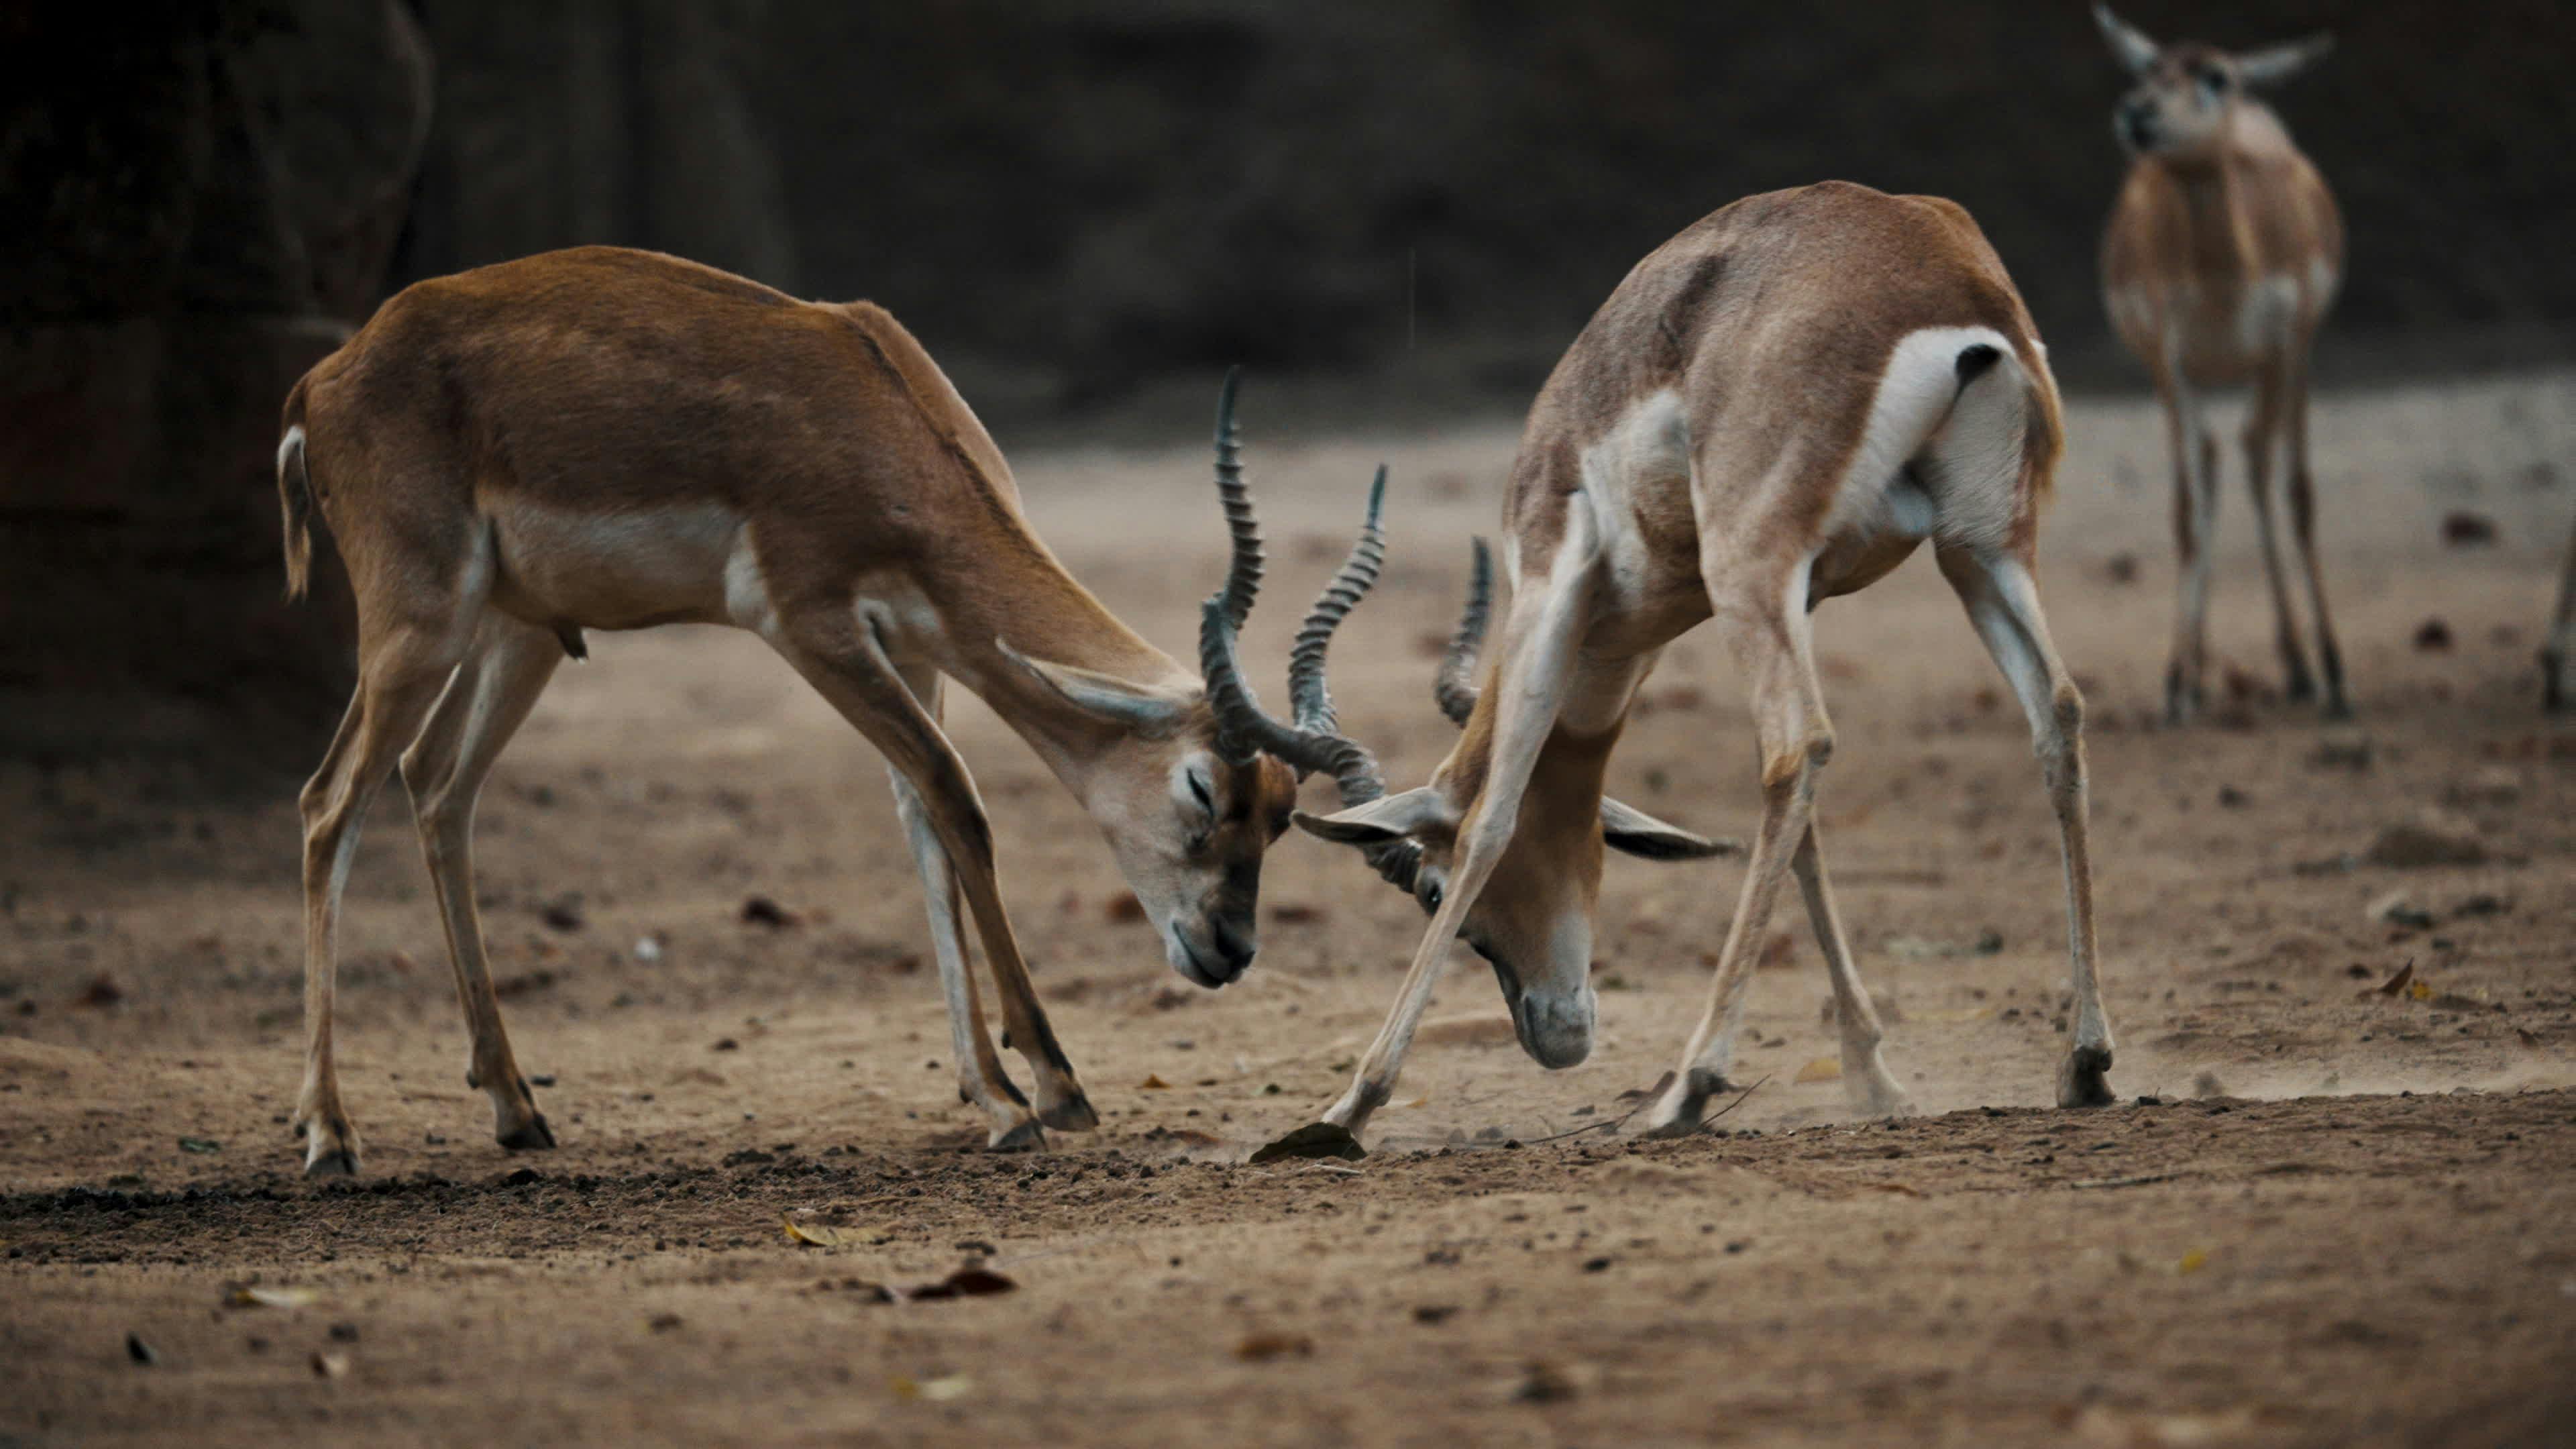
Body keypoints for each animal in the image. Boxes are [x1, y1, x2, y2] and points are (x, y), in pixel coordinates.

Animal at [273, 246, 1391, 1174]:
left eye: (1283, 817)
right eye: (1202, 789)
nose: (1229, 949)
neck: (877, 419)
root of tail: (325, 379)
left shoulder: (918, 648)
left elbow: (924, 822)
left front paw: (995, 1097)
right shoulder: (809, 624)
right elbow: (957, 796)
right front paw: (1055, 1087)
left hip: (519, 632)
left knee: (435, 786)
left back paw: (514, 1107)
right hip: (419, 623)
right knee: (329, 803)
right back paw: (330, 1137)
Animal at [1290, 181, 2116, 1141]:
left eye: (1426, 889)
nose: (1551, 1033)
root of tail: (1949, 276)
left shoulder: (1549, 580)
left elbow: (1495, 812)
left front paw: (1347, 1104)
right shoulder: (1797, 595)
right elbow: (1806, 839)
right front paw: (1875, 1079)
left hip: (1750, 560)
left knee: (1801, 747)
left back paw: (1688, 1086)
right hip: (1979, 550)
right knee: (2055, 713)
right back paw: (2084, 1062)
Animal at [2094, 5, 2345, 723]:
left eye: (2216, 76)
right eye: (2147, 68)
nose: (2139, 112)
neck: (2222, 281)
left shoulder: (2292, 345)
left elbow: (2301, 494)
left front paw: (2336, 676)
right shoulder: (2170, 363)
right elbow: (2186, 508)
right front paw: (2177, 683)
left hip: (2268, 370)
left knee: (2256, 454)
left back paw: (2300, 668)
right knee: (2213, 464)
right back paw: (2203, 674)